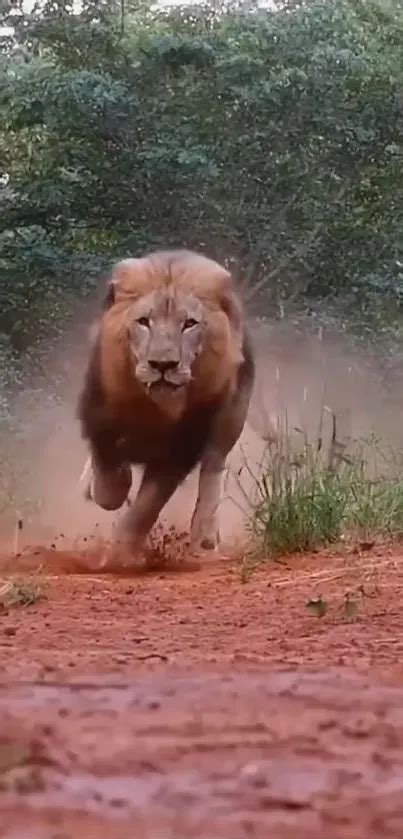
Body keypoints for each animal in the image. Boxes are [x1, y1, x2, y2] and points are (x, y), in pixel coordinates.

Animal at [77, 248, 255, 554]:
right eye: (144, 322)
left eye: (189, 324)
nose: (163, 365)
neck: (154, 408)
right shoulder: (98, 416)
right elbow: (108, 475)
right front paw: (111, 488)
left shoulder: (180, 450)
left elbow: (146, 507)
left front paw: (122, 551)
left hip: (232, 415)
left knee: (214, 464)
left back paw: (205, 532)